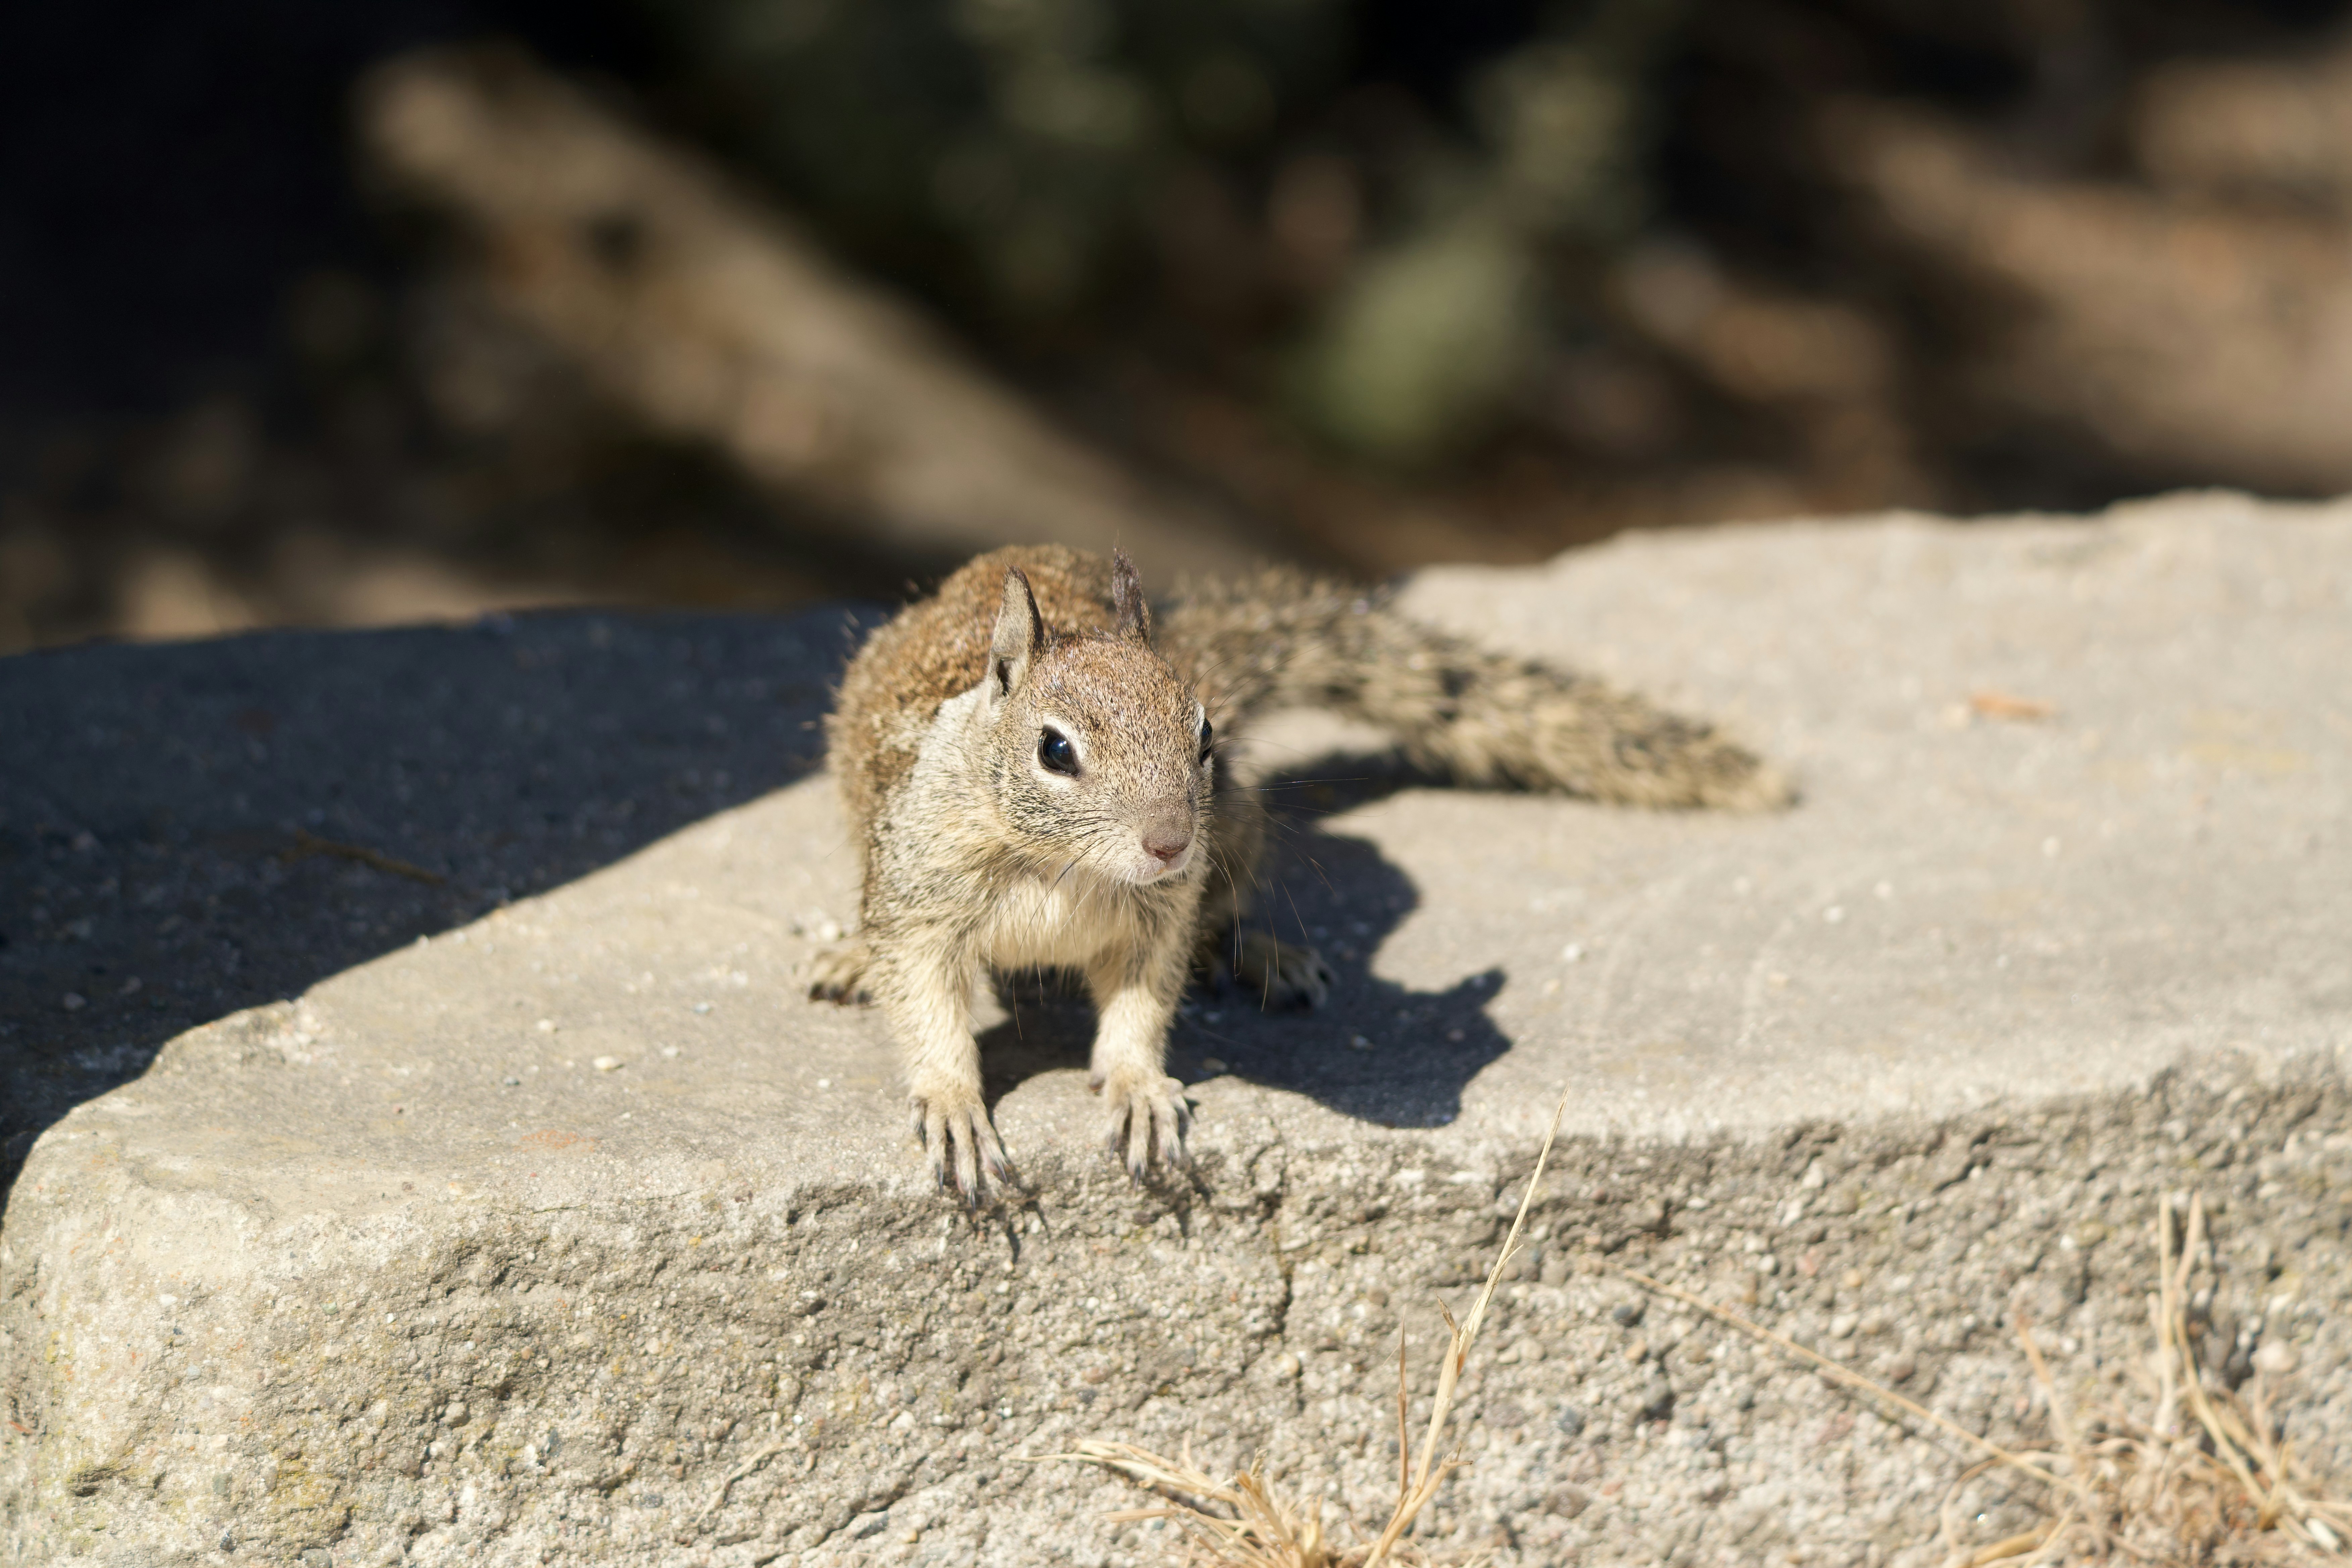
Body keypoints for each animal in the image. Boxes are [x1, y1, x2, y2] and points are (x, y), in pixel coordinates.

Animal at [809, 544, 1789, 1201]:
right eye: (1055, 750)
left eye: (1205, 733)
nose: (1171, 843)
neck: (1059, 863)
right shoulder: (923, 899)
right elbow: (926, 1002)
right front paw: (954, 1105)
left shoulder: (1160, 918)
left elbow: (1141, 1006)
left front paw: (1139, 1090)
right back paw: (848, 956)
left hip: (1238, 829)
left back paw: (1261, 955)